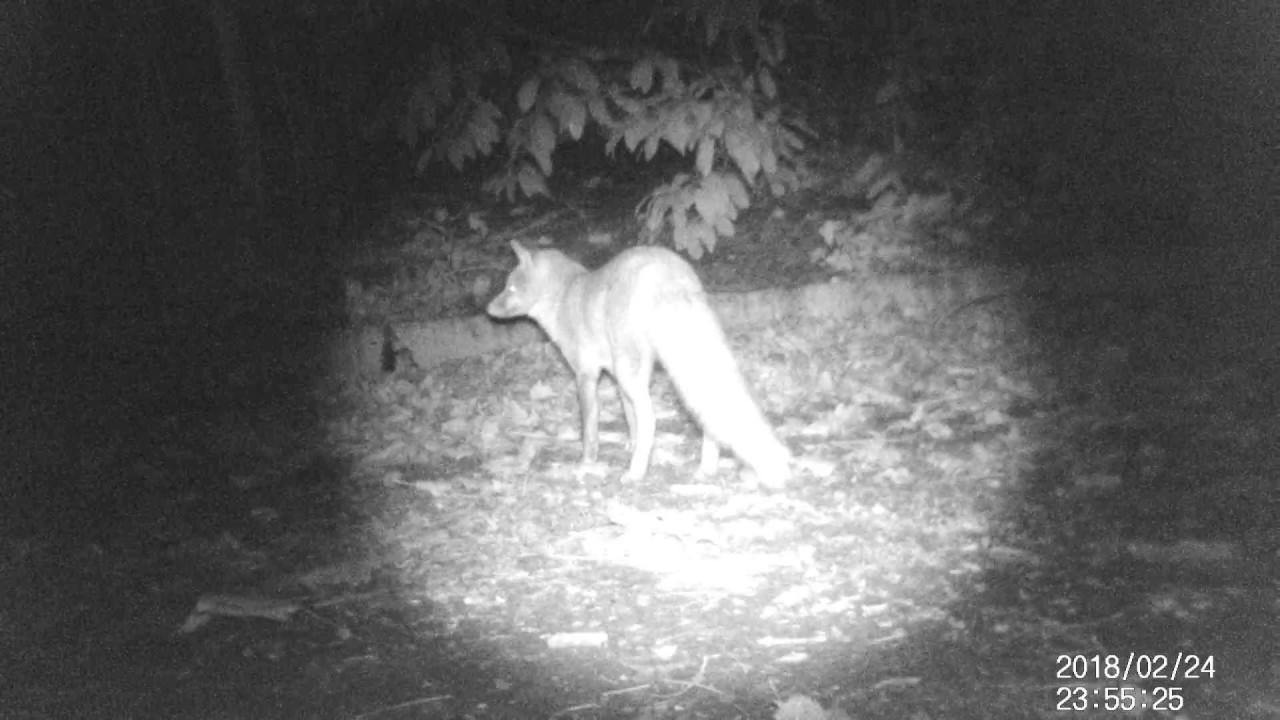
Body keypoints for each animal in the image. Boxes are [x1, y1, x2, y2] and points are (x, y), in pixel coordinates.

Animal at [487, 240, 791, 487]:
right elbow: (629, 419)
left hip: (633, 371)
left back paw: (636, 473)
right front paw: (630, 447)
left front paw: (587, 463)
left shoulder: (586, 375)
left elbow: (590, 431)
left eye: (509, 287)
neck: (565, 296)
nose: (488, 309)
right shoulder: (616, 379)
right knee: (706, 416)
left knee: (651, 419)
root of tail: (666, 270)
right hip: (652, 371)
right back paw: (706, 468)